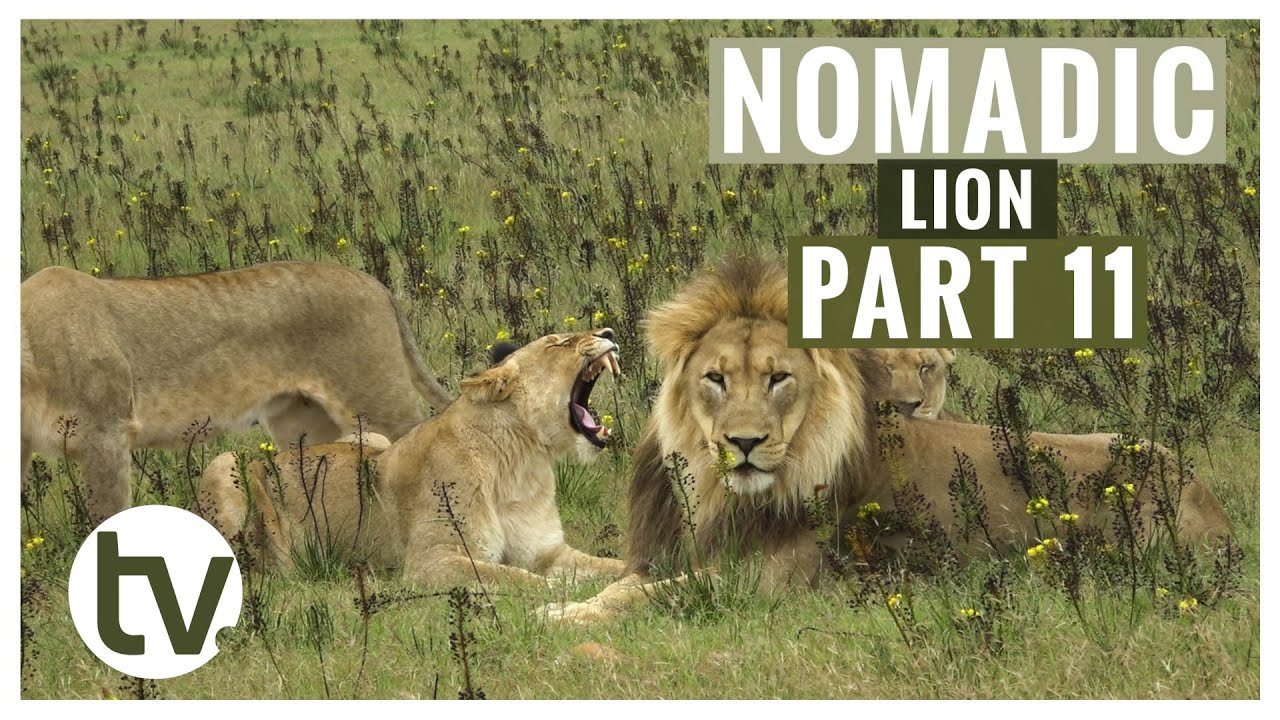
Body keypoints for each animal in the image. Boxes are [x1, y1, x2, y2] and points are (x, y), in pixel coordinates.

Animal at [198, 329, 626, 586]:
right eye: (558, 342)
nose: (608, 333)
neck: (521, 464)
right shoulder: (432, 562)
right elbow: (523, 580)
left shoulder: (548, 552)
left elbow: (612, 564)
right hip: (225, 464)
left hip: (372, 436)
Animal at [541, 258, 1232, 623]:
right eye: (716, 379)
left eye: (778, 379)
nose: (744, 443)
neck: (718, 492)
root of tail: (1206, 496)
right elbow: (622, 583)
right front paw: (559, 601)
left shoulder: (771, 582)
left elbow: (662, 595)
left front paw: (559, 617)